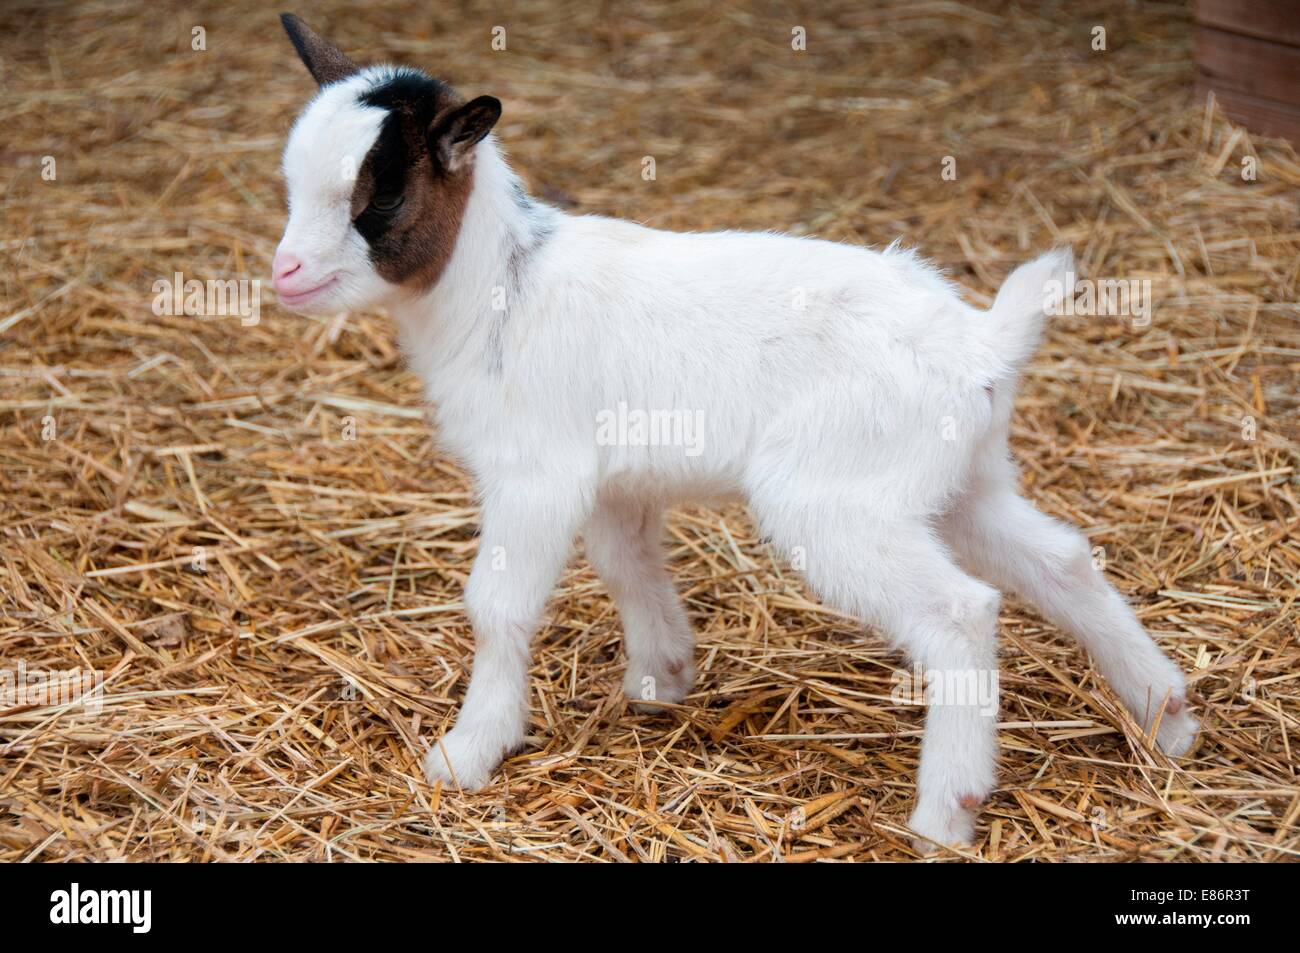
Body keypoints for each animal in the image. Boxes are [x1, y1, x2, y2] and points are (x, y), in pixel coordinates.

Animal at [272, 14, 1198, 849]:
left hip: (834, 497)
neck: (500, 287)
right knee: (1063, 560)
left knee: (962, 610)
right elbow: (630, 565)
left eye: (379, 197)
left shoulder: (535, 473)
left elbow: (497, 605)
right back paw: (1170, 716)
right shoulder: (612, 482)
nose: (284, 273)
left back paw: (947, 811)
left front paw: (468, 751)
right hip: (961, 478)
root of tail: (980, 342)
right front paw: (661, 675)